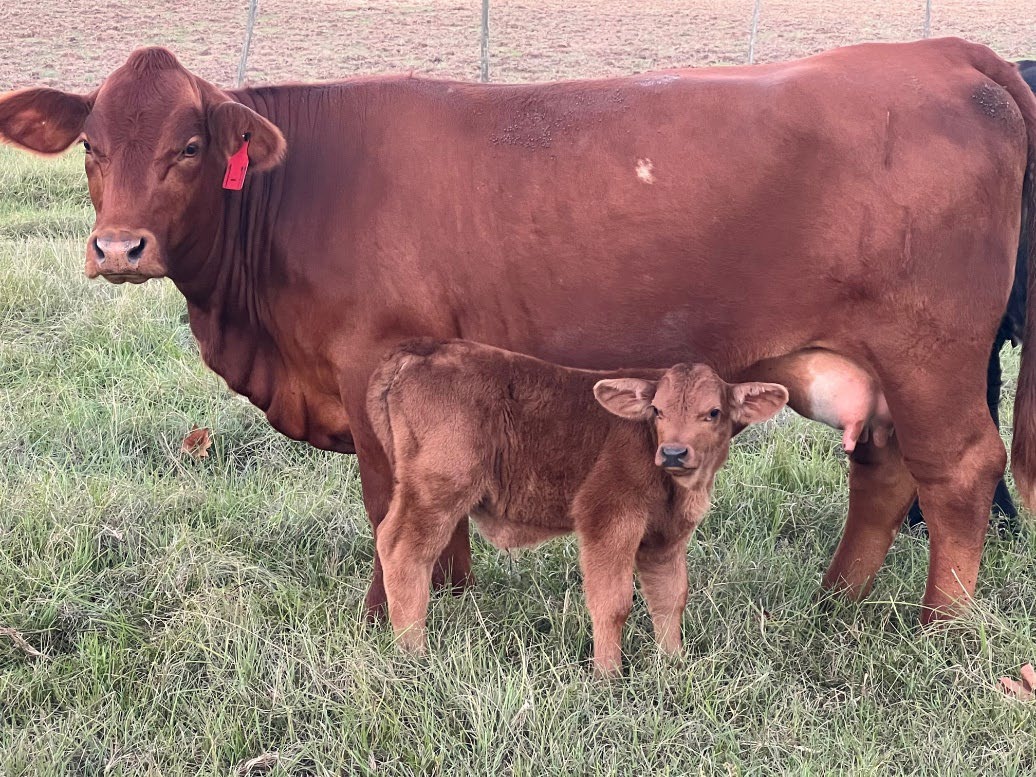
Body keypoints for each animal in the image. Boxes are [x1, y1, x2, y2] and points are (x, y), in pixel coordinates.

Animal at [366, 339, 789, 674]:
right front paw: (608, 675)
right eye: (657, 410)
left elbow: (671, 597)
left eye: (713, 412)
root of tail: (423, 350)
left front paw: (674, 663)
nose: (673, 452)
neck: (678, 489)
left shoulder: (666, 536)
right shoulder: (608, 518)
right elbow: (612, 601)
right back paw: (413, 653)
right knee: (403, 549)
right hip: (436, 489)